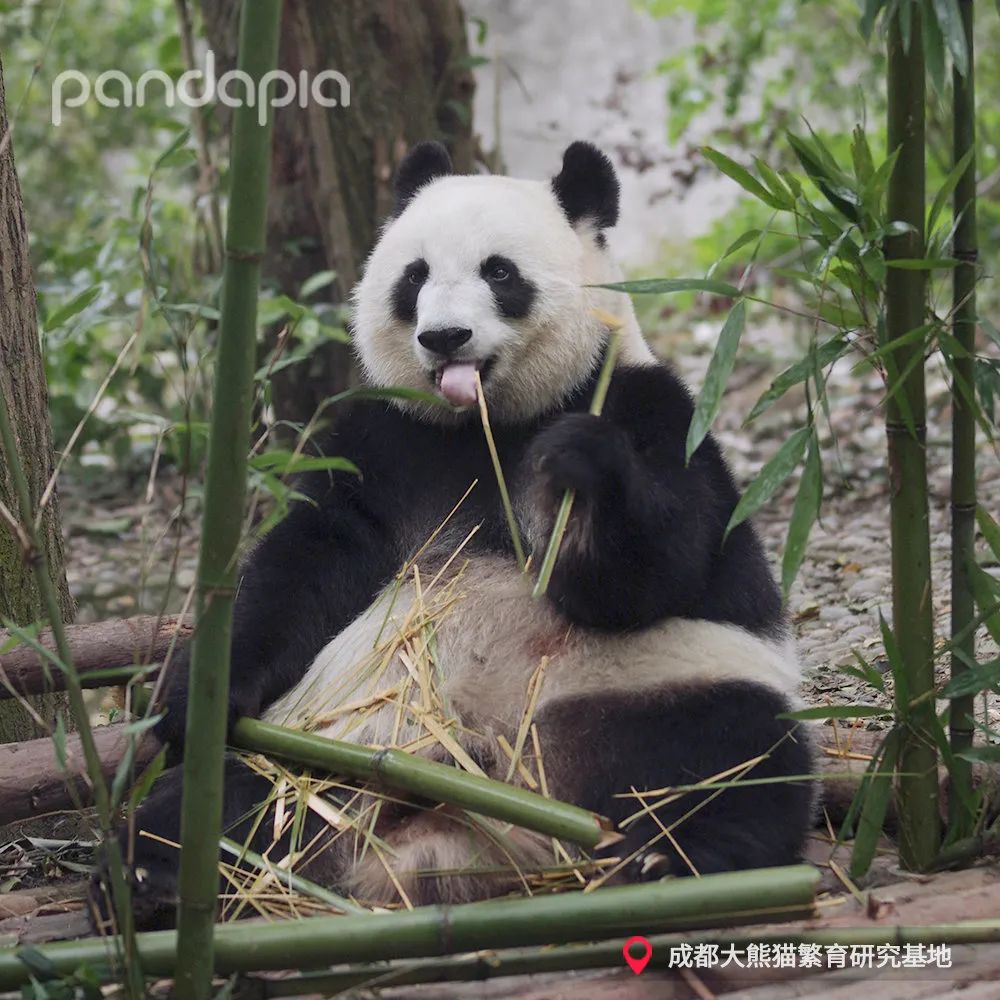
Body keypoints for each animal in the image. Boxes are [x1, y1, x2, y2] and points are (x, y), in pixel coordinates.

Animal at [114, 140, 815, 926]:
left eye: (499, 272)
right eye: (414, 276)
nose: (444, 336)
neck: (483, 420)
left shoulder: (649, 406)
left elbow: (662, 563)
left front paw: (581, 465)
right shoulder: (385, 443)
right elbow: (306, 564)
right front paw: (189, 698)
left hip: (644, 692)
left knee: (729, 760)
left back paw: (672, 861)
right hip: (322, 743)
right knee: (230, 797)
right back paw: (150, 878)